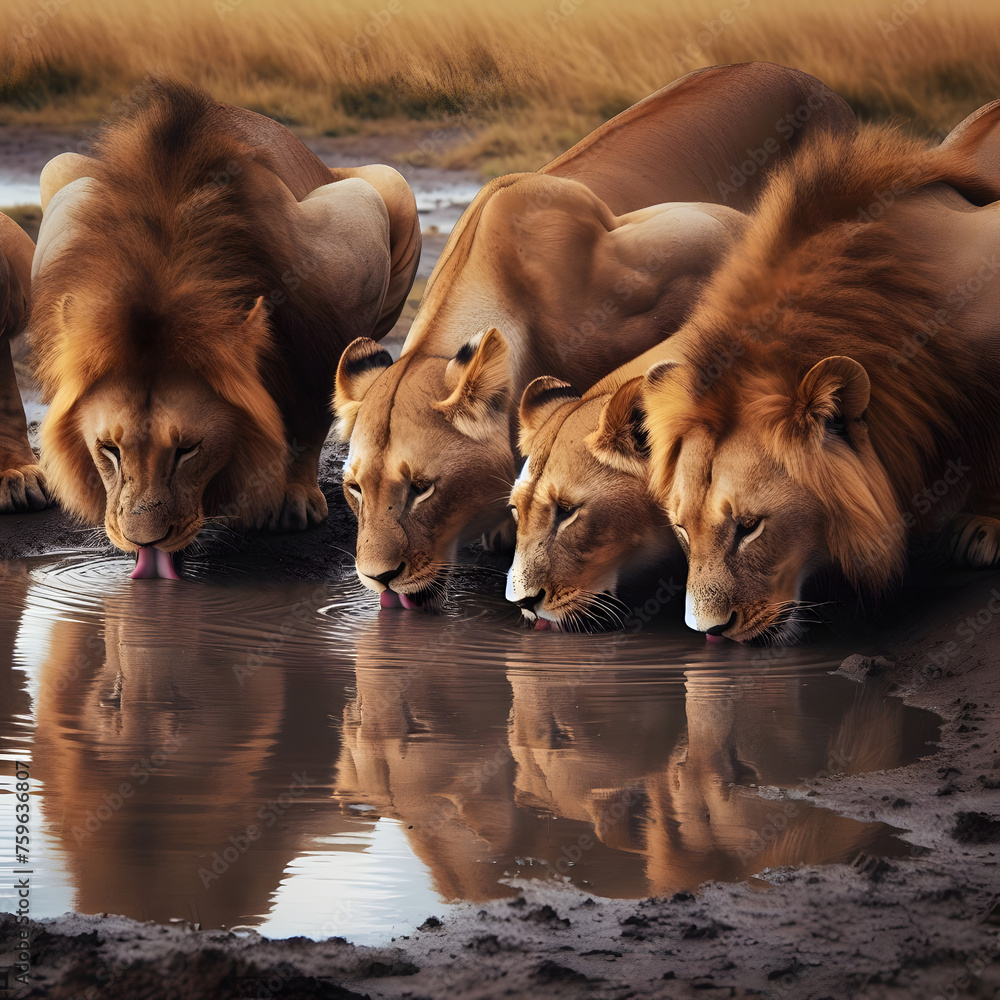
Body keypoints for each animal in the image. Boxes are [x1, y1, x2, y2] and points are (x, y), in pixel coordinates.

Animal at [29, 79, 420, 577]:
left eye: (188, 449)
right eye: (109, 449)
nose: (144, 543)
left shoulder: (350, 242)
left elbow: (313, 408)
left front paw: (291, 502)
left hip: (389, 182)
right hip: (60, 166)